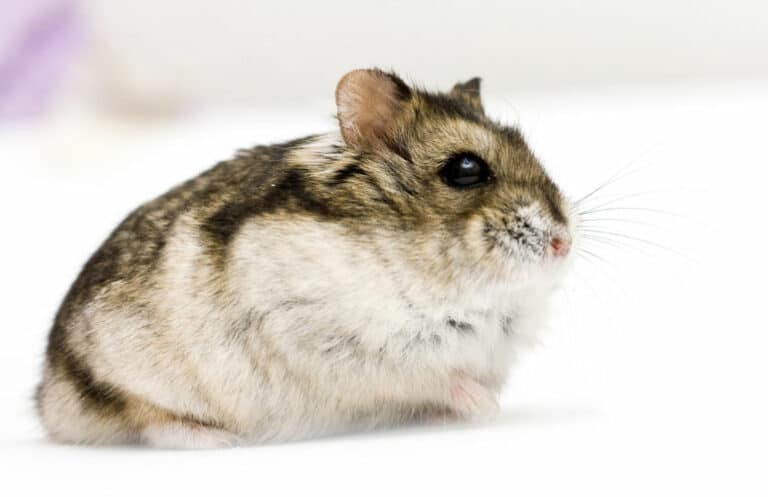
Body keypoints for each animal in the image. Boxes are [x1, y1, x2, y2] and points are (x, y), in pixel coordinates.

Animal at [36, 69, 575, 448]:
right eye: (466, 169)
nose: (563, 243)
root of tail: (47, 394)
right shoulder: (338, 345)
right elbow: (438, 377)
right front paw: (487, 405)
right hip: (125, 379)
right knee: (148, 419)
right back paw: (218, 439)